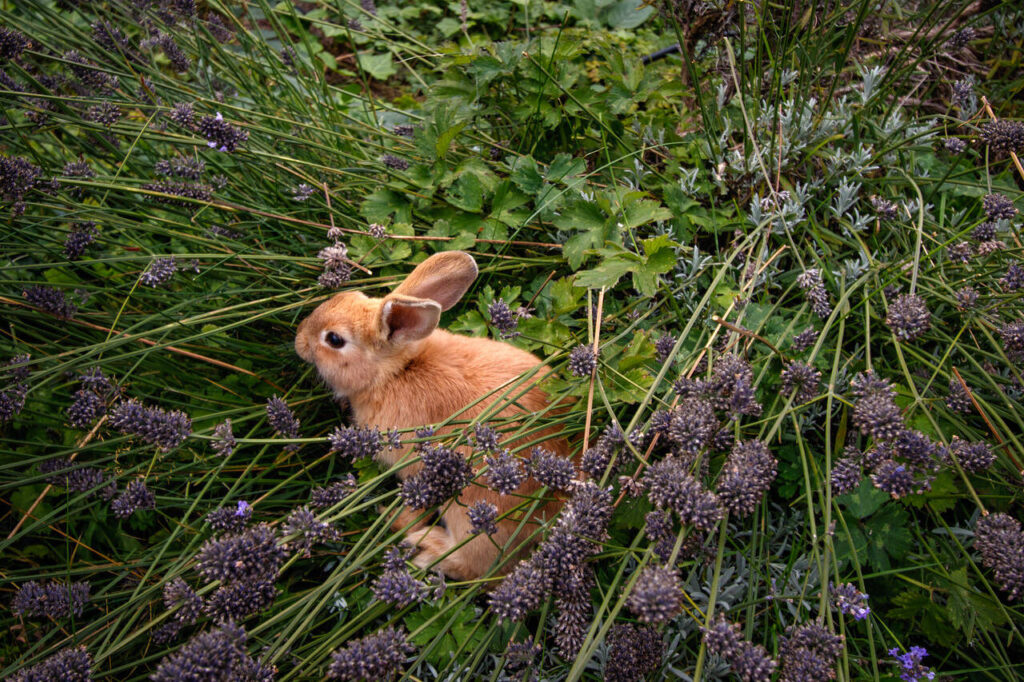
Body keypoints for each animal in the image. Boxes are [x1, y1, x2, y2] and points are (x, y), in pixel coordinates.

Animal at [295, 251, 572, 580]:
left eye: (334, 340)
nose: (299, 340)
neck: (396, 371)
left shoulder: (414, 468)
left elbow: (415, 506)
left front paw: (392, 519)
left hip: (472, 518)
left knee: (474, 566)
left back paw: (427, 550)